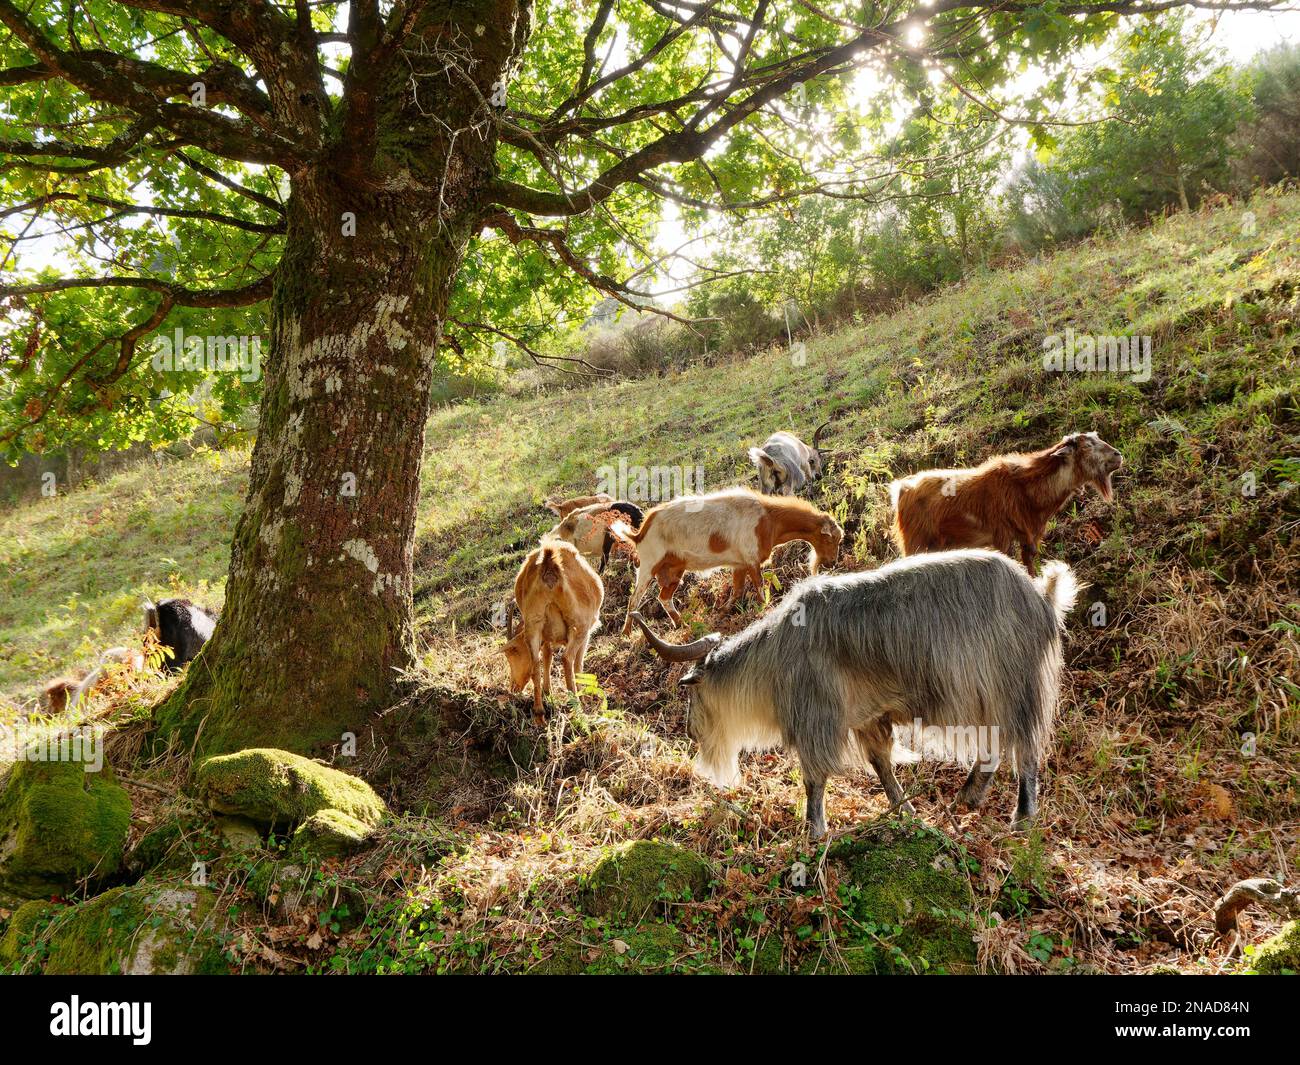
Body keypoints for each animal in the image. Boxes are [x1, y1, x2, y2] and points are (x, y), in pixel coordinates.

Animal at [500, 539, 604, 725]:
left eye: (513, 653)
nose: (514, 687)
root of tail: (549, 566)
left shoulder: (545, 636)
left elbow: (547, 657)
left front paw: (547, 692)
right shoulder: (585, 634)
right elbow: (579, 664)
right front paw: (584, 695)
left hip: (534, 624)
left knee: (536, 663)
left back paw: (539, 713)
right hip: (579, 625)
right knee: (567, 659)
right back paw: (577, 706)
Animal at [611, 487, 843, 636]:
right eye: (830, 538)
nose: (831, 563)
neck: (769, 519)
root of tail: (639, 532)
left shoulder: (739, 564)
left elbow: (737, 591)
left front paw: (723, 612)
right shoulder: (751, 559)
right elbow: (759, 588)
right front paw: (765, 610)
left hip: (674, 570)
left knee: (664, 598)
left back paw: (681, 624)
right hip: (649, 565)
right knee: (634, 600)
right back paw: (626, 633)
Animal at [633, 548, 1079, 836]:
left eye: (692, 693)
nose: (689, 731)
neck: (777, 652)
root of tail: (1042, 596)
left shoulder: (817, 719)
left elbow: (814, 779)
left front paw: (814, 831)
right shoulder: (867, 718)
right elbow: (882, 766)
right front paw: (905, 811)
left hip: (1013, 689)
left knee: (1023, 750)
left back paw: (1021, 818)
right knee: (995, 748)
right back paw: (969, 797)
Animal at [889, 431, 1123, 574]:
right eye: (1089, 445)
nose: (1118, 455)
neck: (1025, 488)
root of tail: (901, 489)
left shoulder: (1029, 536)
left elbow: (1029, 564)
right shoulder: (1002, 536)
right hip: (916, 542)